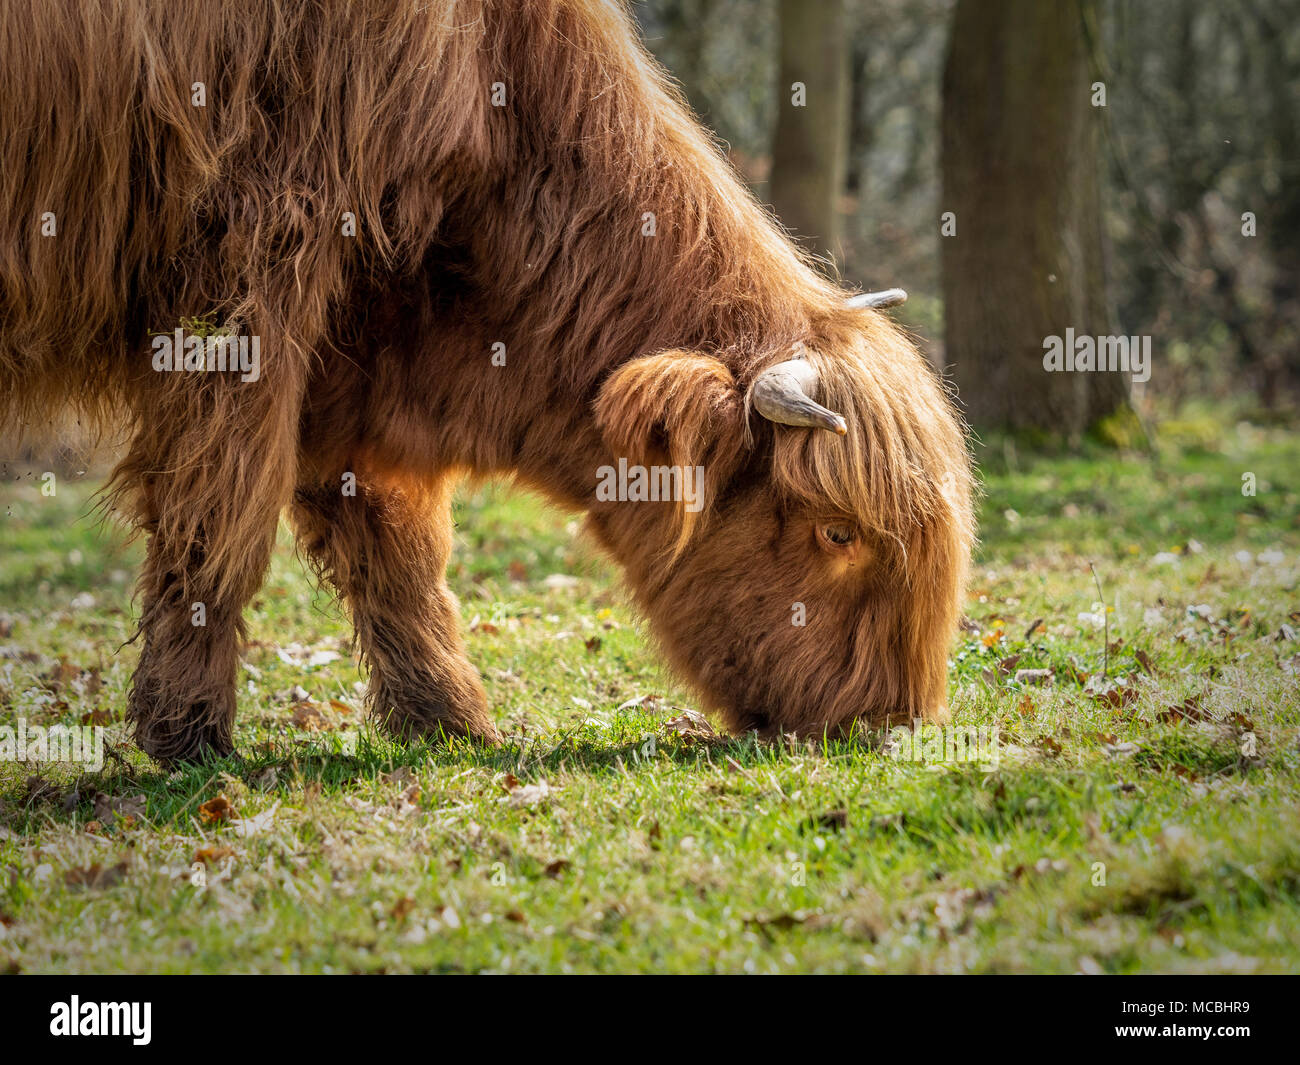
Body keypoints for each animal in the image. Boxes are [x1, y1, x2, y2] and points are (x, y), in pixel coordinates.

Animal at [0, 0, 975, 765]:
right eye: (837, 533)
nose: (888, 721)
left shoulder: (352, 363)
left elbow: (397, 547)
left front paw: (447, 719)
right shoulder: (246, 272)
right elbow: (219, 512)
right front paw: (188, 731)